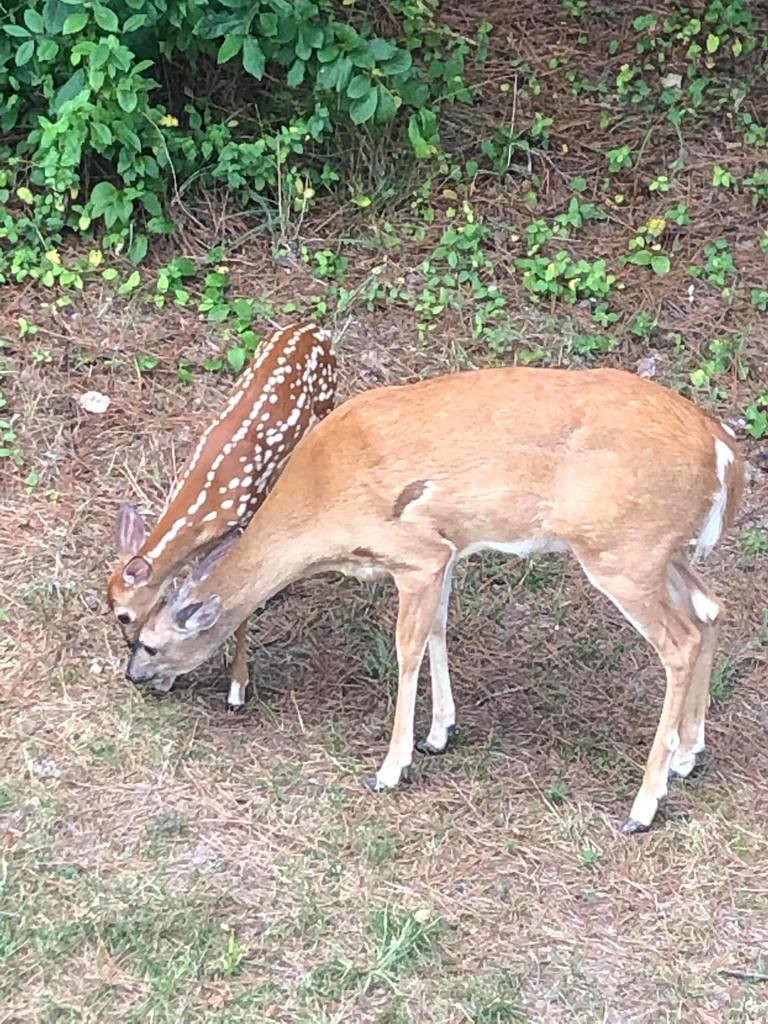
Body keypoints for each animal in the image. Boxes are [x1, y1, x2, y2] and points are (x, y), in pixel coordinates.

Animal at [107, 321, 337, 710]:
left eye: (124, 614)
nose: (128, 643)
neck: (201, 508)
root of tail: (310, 327)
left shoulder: (242, 521)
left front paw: (237, 688)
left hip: (326, 397)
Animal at [124, 366, 745, 833]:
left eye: (148, 643)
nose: (132, 676)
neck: (319, 509)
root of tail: (723, 452)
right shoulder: (447, 551)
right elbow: (440, 630)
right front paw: (439, 733)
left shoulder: (416, 552)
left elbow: (407, 649)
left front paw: (390, 766)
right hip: (659, 552)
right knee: (711, 610)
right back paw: (689, 756)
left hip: (621, 550)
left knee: (680, 642)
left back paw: (644, 804)